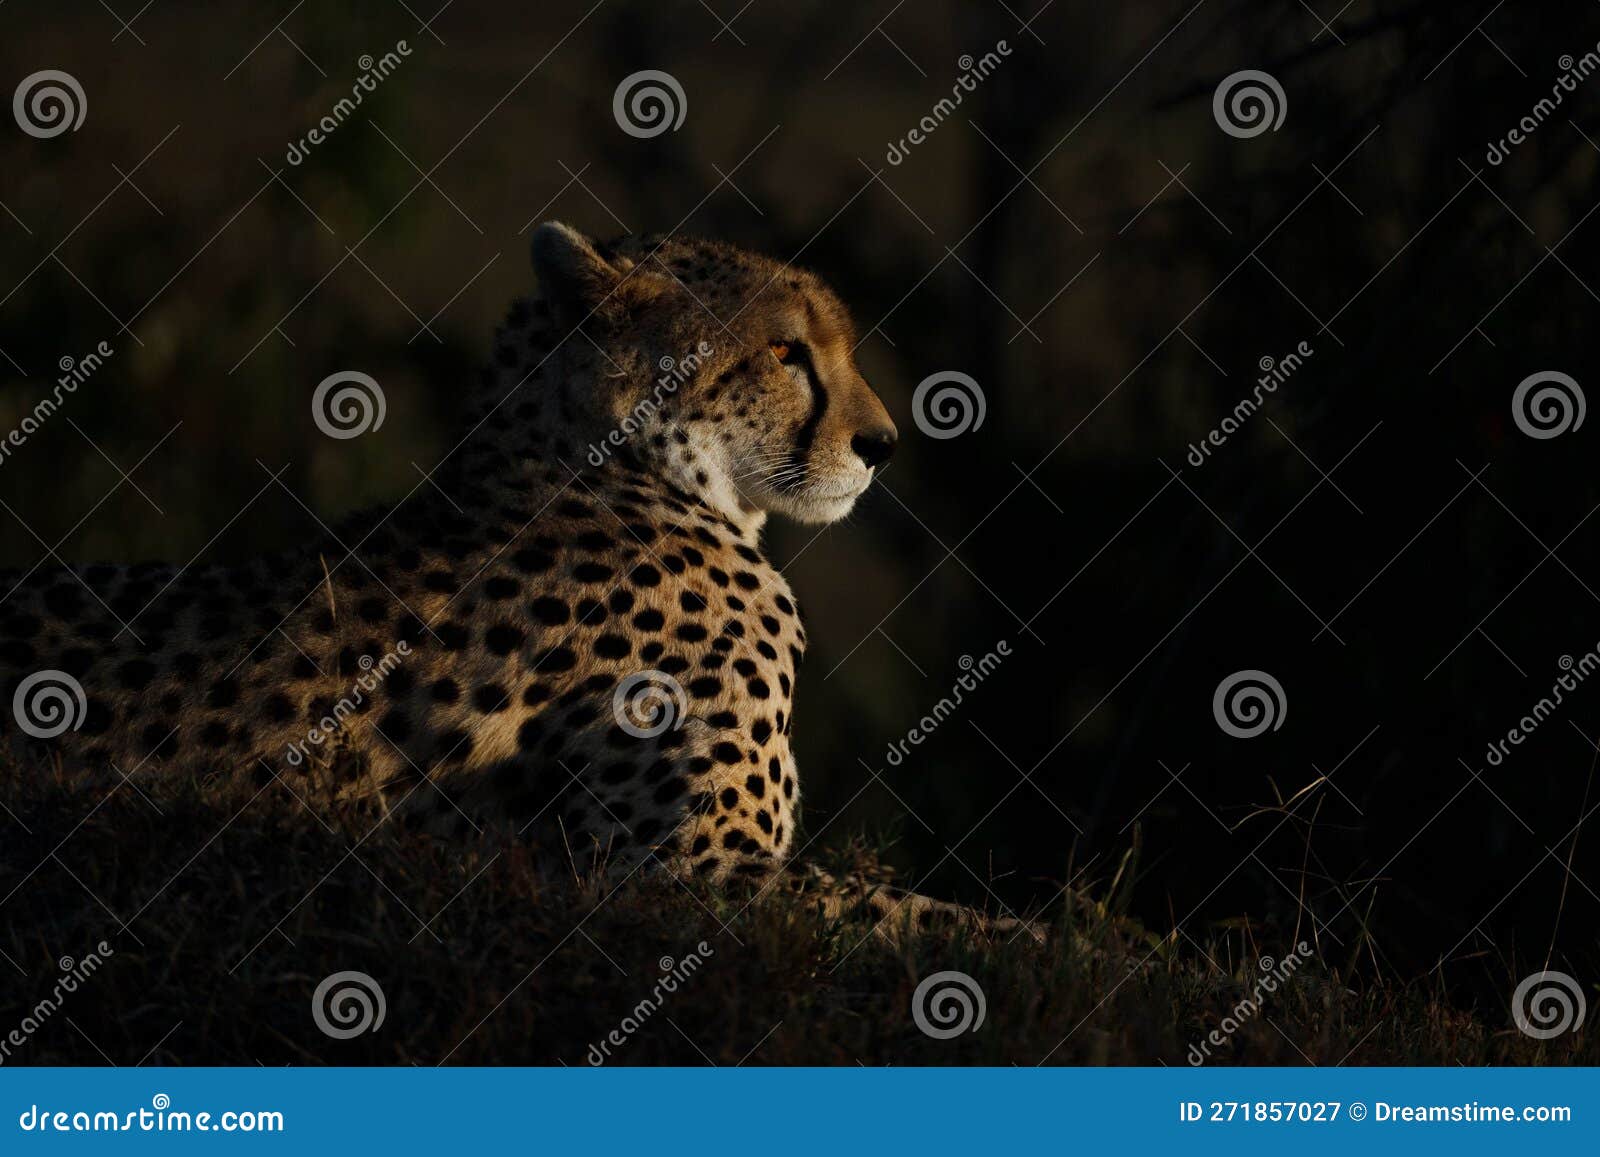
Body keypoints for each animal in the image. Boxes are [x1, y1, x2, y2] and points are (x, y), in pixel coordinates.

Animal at [0, 222, 1036, 941]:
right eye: (786, 351)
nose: (883, 444)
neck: (620, 470)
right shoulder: (678, 873)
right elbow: (915, 915)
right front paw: (1058, 947)